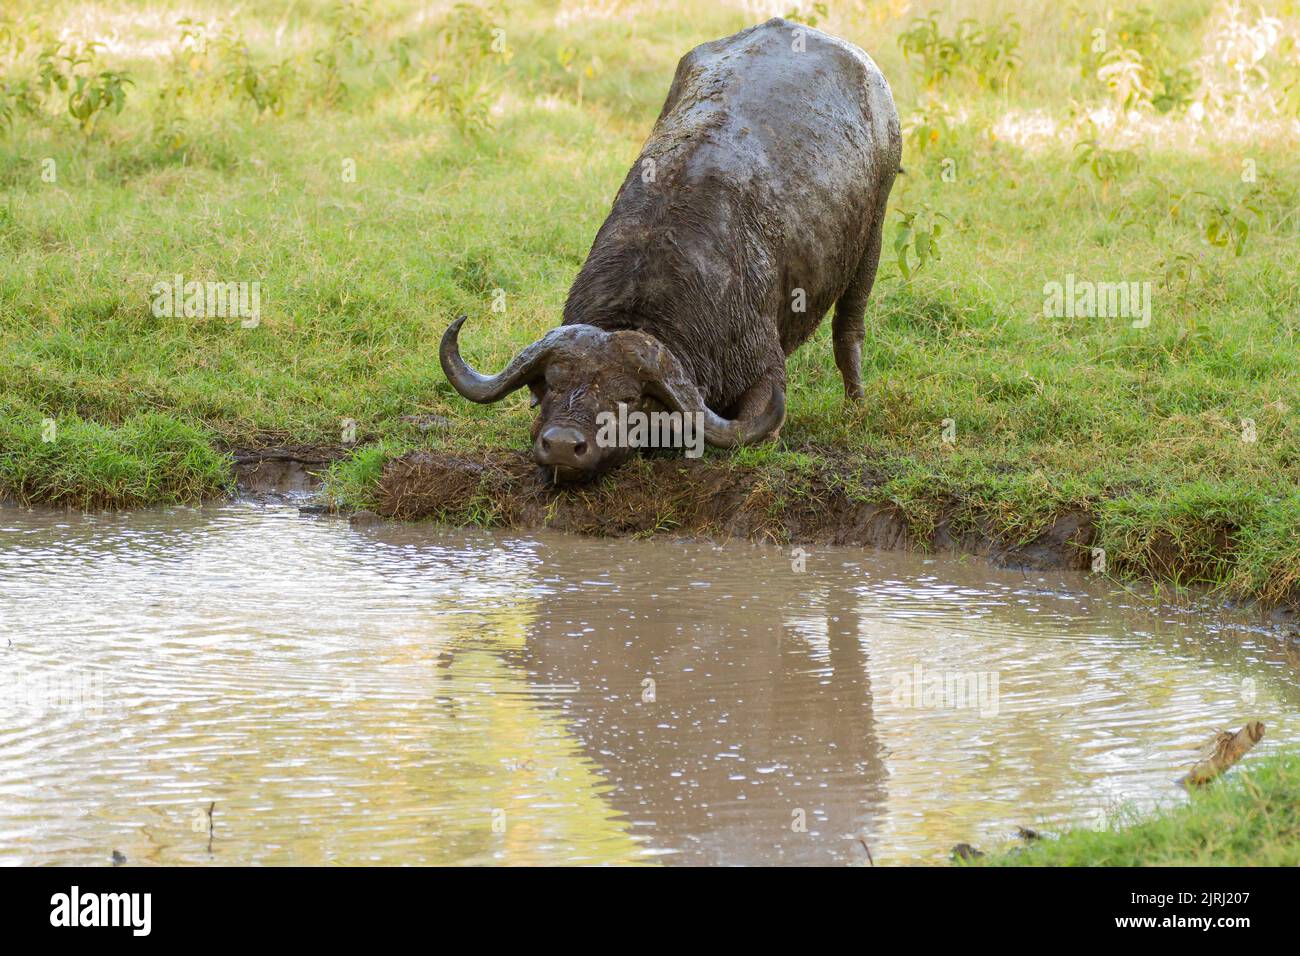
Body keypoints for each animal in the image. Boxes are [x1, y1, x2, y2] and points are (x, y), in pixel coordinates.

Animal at [441, 17, 901, 483]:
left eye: (628, 398)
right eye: (553, 382)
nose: (563, 445)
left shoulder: (763, 367)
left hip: (875, 233)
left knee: (849, 327)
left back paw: (856, 403)